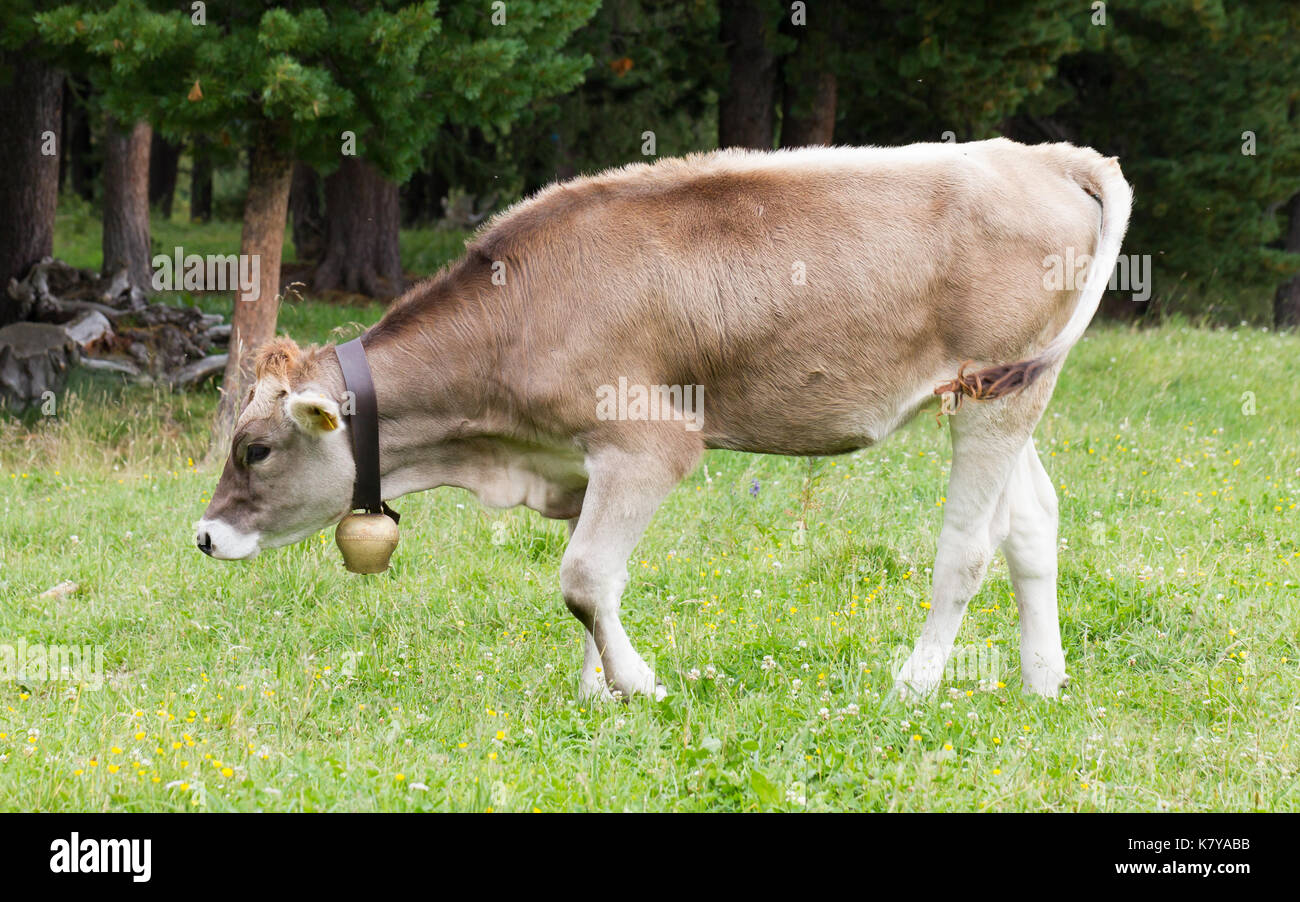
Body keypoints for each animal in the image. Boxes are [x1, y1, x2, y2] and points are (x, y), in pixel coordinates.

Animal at [196, 138, 1132, 701]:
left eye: (257, 448)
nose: (204, 536)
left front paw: (638, 684)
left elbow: (582, 576)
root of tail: (1042, 155)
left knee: (968, 547)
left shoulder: (649, 444)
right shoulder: (579, 461)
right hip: (1009, 389)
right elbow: (596, 581)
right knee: (1031, 523)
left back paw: (916, 682)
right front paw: (595, 689)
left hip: (993, 392)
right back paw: (1043, 679)